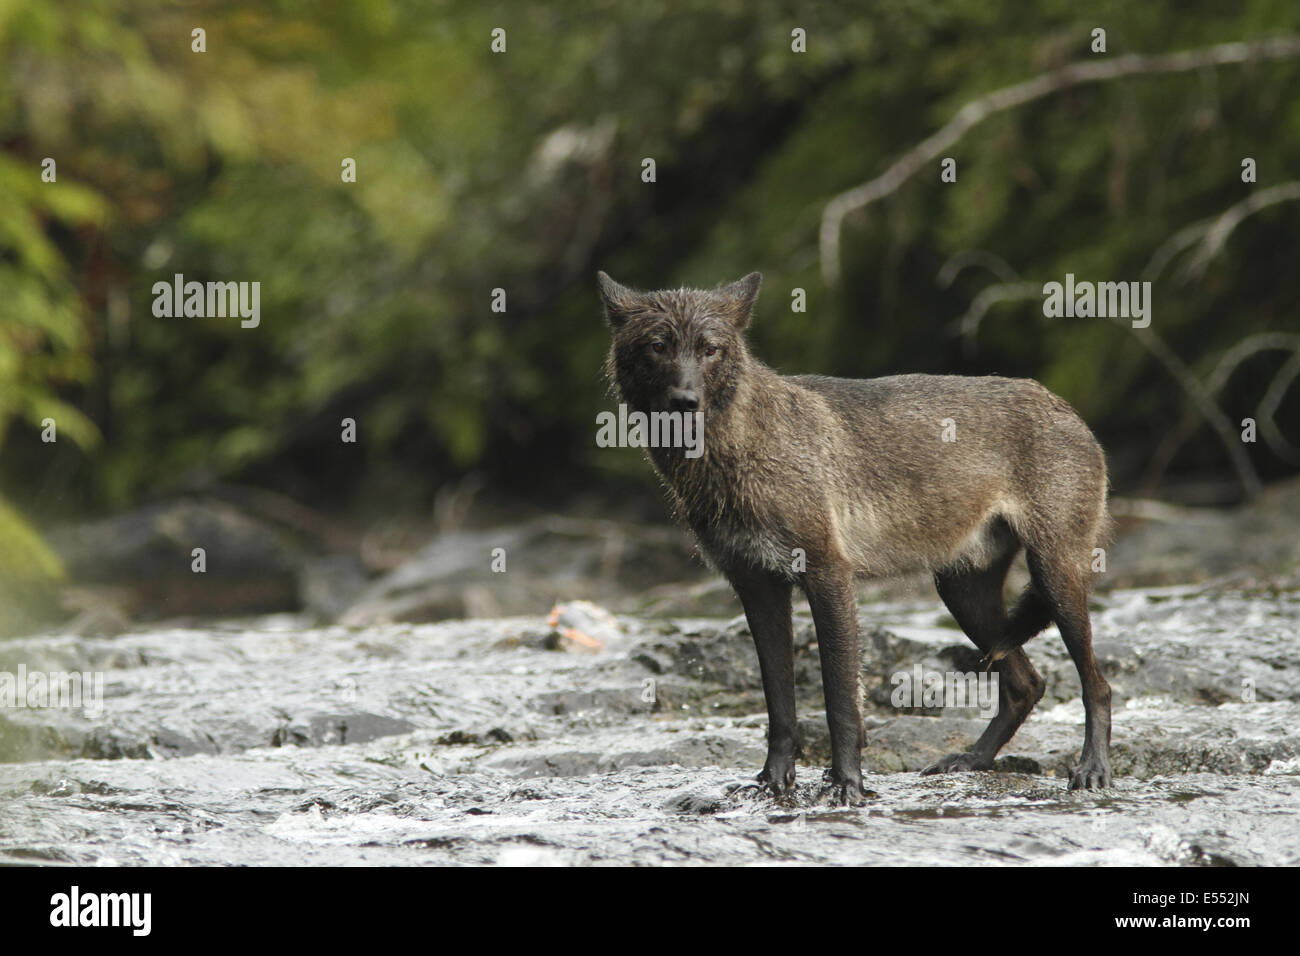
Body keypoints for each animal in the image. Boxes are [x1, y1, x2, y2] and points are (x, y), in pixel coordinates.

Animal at [598, 271, 1113, 805]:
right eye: (658, 346)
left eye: (709, 349)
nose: (685, 402)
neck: (742, 449)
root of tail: (1068, 410)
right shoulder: (758, 589)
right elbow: (779, 705)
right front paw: (773, 783)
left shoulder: (829, 576)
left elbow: (840, 698)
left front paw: (847, 784)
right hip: (964, 596)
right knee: (1026, 684)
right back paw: (971, 761)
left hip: (1054, 579)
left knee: (1097, 685)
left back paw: (1092, 769)